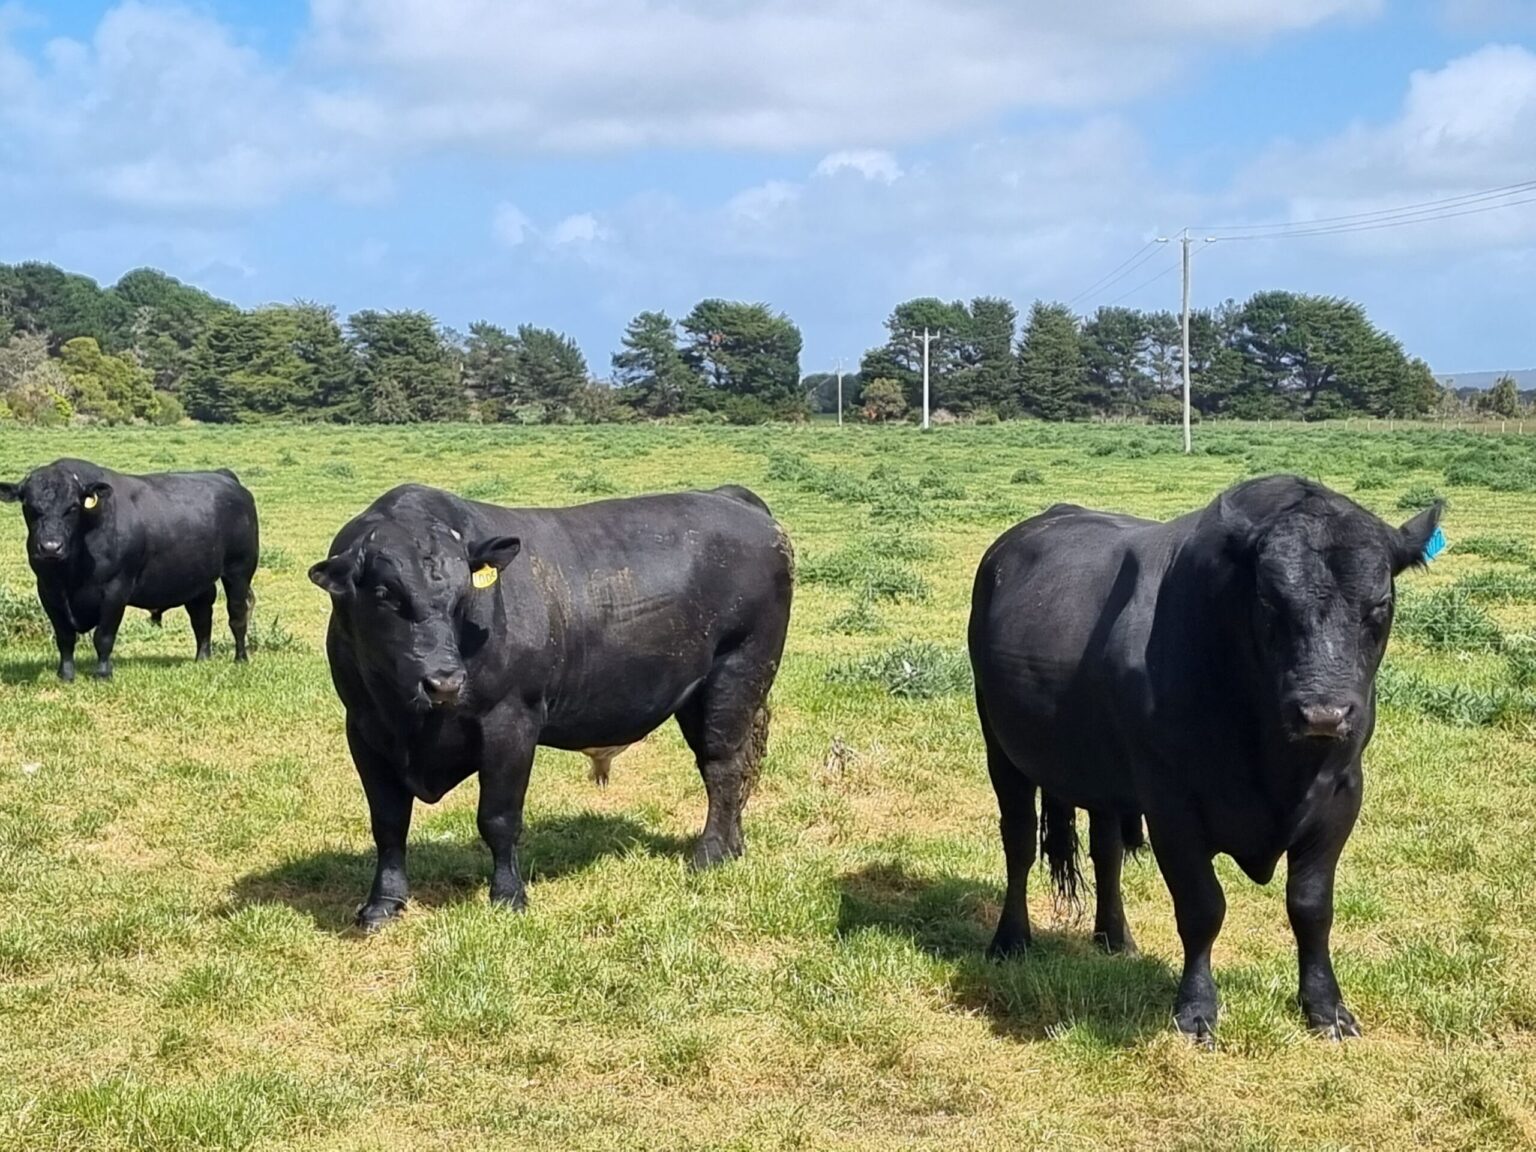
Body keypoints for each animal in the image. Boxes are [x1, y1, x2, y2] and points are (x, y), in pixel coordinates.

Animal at [1, 458, 259, 681]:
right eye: (30, 506)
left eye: (73, 507)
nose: (50, 547)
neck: (71, 574)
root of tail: (224, 477)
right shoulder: (48, 591)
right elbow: (65, 637)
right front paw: (65, 675)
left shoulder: (116, 591)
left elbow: (103, 637)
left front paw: (103, 673)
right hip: (199, 579)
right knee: (201, 616)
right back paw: (202, 659)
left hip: (239, 571)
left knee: (237, 615)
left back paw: (240, 659)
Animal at [309, 482, 794, 931]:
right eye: (384, 593)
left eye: (462, 594)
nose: (444, 682)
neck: (411, 720)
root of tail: (730, 497)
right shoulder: (364, 730)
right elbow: (389, 821)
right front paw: (382, 904)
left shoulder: (511, 723)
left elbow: (499, 818)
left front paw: (508, 896)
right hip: (701, 692)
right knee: (738, 766)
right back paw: (732, 846)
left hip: (738, 672)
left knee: (723, 767)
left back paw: (710, 854)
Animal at [968, 474, 1441, 1045]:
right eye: (1268, 602)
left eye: (1379, 606)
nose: (1323, 714)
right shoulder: (1171, 805)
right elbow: (1201, 908)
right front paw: (1196, 1011)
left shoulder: (1341, 794)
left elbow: (1311, 906)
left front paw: (1326, 1008)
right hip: (1001, 746)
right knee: (1018, 842)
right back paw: (1011, 939)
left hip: (1103, 773)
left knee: (1106, 850)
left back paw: (1114, 936)